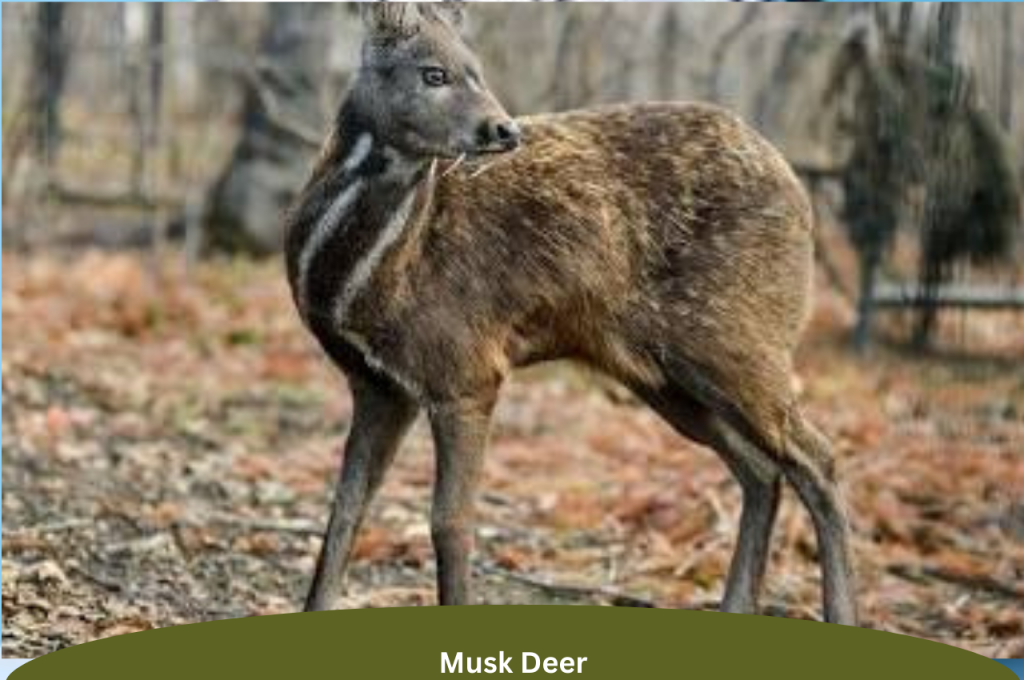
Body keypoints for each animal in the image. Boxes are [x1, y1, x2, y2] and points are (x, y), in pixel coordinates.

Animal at [283, 3, 857, 626]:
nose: (503, 129)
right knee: (762, 469)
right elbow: (344, 511)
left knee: (818, 458)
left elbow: (450, 522)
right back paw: (735, 609)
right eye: (433, 72)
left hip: (738, 338)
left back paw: (843, 617)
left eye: (476, 69)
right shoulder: (378, 385)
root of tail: (800, 195)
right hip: (663, 373)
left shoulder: (466, 369)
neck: (370, 278)